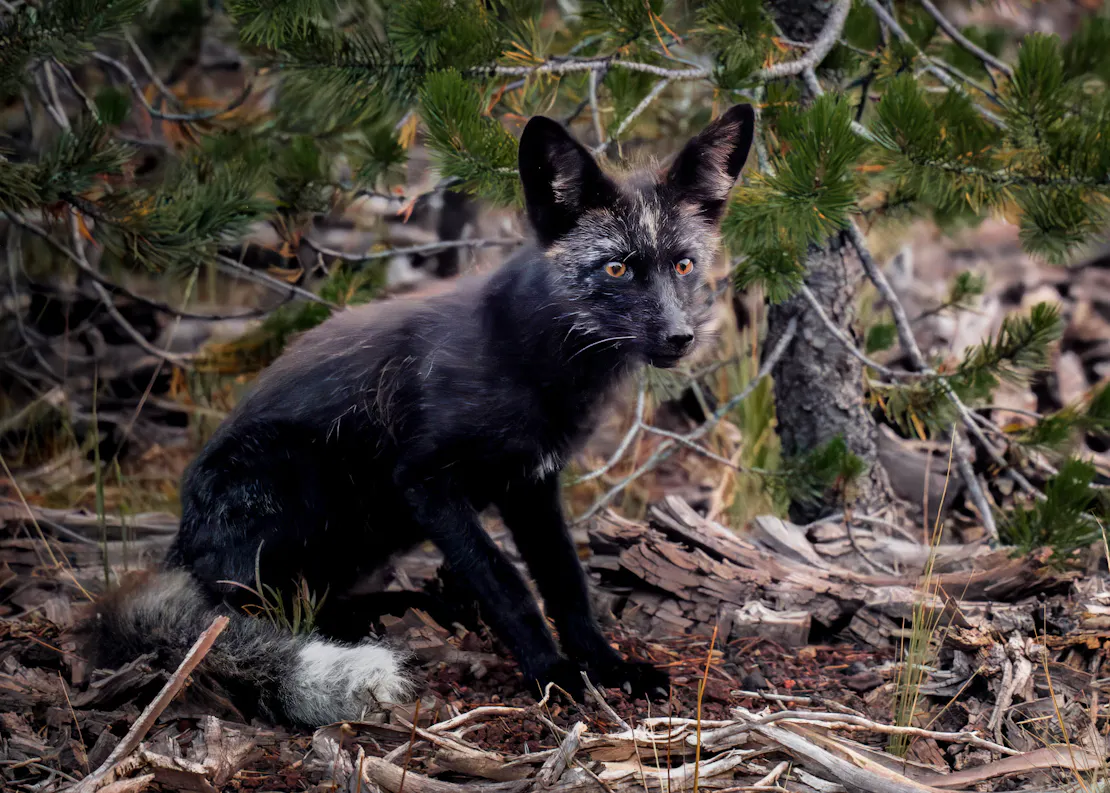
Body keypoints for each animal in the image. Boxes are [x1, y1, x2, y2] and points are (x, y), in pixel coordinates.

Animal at [79, 104, 756, 727]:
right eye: (616, 268)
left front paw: (605, 666)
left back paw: (407, 610)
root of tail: (179, 543)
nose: (680, 338)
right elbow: (507, 582)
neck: (535, 363)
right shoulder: (427, 482)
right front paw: (552, 674)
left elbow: (567, 582)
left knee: (310, 598)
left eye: (683, 265)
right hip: (307, 492)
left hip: (365, 530)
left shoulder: (532, 483)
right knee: (247, 610)